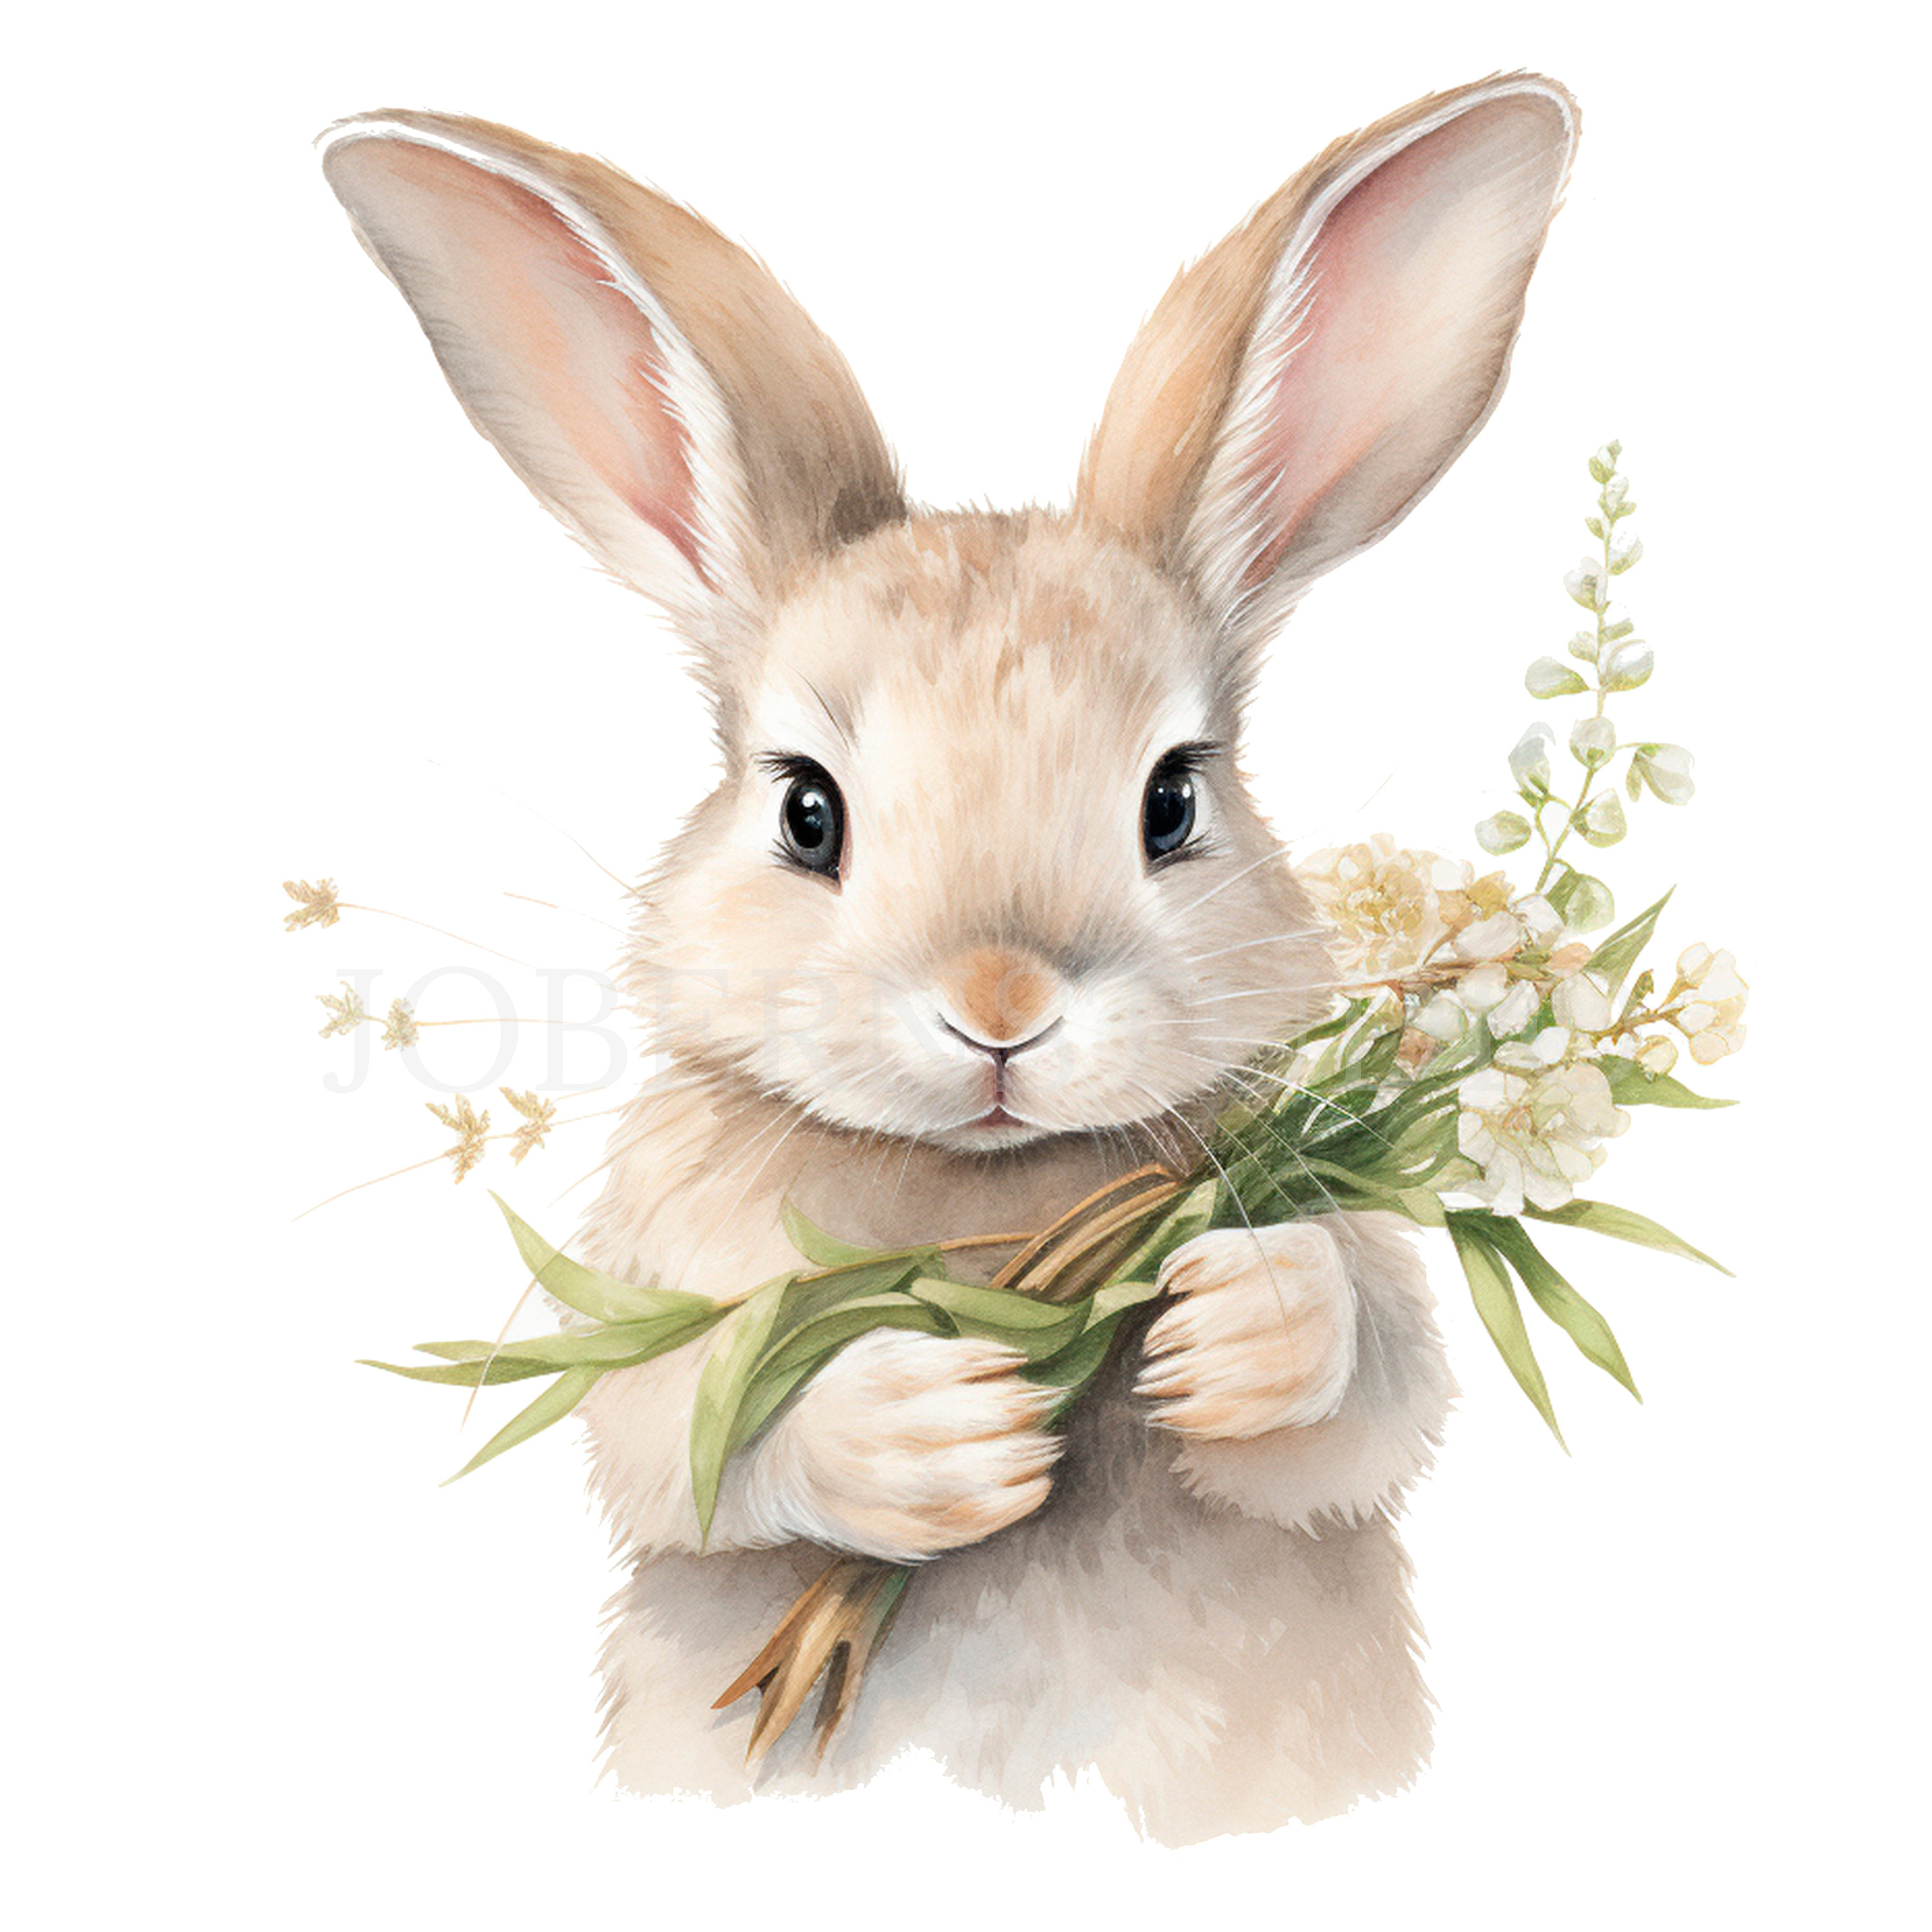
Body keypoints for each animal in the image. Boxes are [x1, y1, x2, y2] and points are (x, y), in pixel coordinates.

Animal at [321, 71, 1576, 1844]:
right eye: (805, 810)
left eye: (1173, 800)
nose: (1000, 1009)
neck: (988, 1198)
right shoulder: (666, 1281)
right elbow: (677, 1433)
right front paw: (943, 1431)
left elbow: (1372, 1384)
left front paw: (1230, 1319)